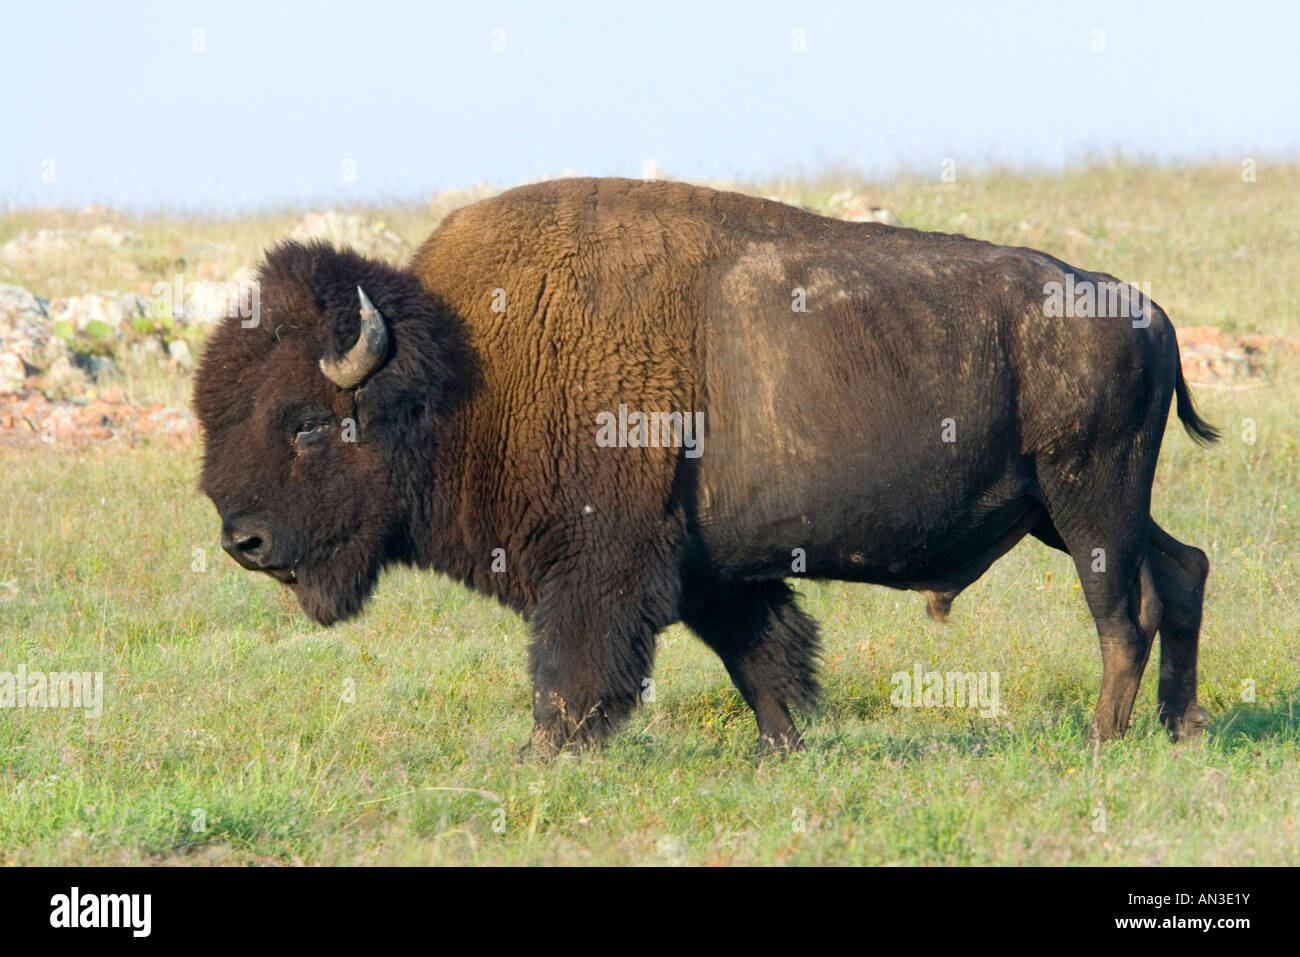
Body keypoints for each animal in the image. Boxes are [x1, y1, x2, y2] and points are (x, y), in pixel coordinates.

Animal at [195, 177, 1217, 753]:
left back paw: (1100, 743)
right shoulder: (711, 570)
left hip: (1088, 503)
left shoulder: (603, 570)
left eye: (307, 425)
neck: (462, 366)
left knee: (1125, 612)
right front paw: (784, 749)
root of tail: (1145, 309)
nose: (244, 540)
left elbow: (572, 673)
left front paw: (541, 755)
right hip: (1070, 509)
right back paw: (1181, 730)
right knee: (1184, 571)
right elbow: (762, 657)